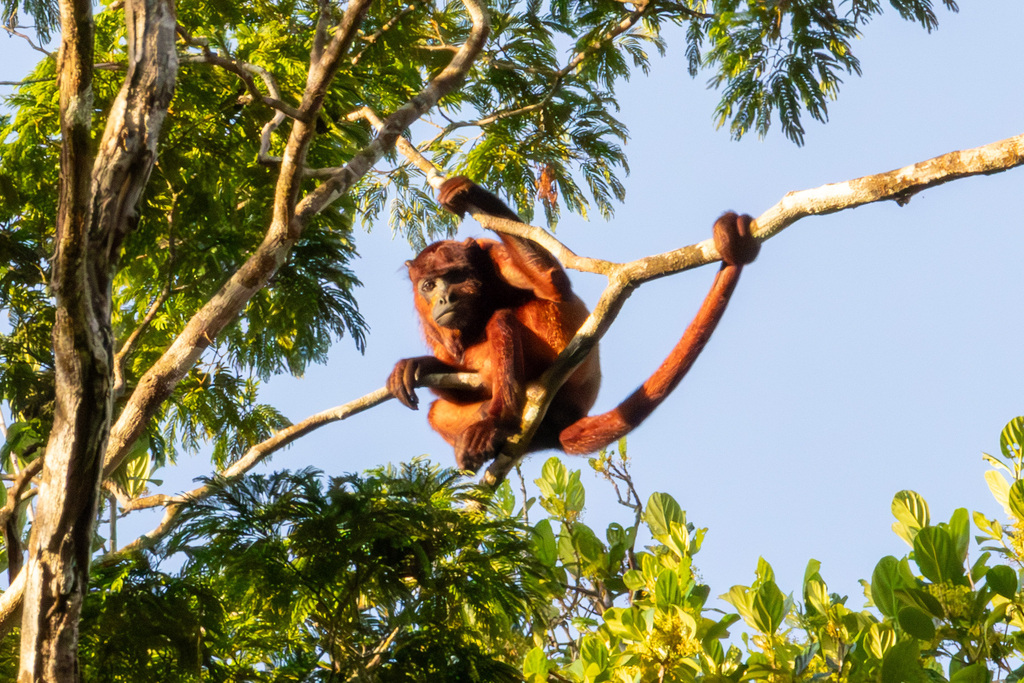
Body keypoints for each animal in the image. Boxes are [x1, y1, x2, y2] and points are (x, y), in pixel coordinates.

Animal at [388, 176, 758, 472]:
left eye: (457, 277)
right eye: (428, 285)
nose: (443, 298)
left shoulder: (493, 253)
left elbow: (552, 284)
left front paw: (468, 192)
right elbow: (453, 372)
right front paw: (418, 365)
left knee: (503, 318)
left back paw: (499, 422)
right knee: (437, 410)